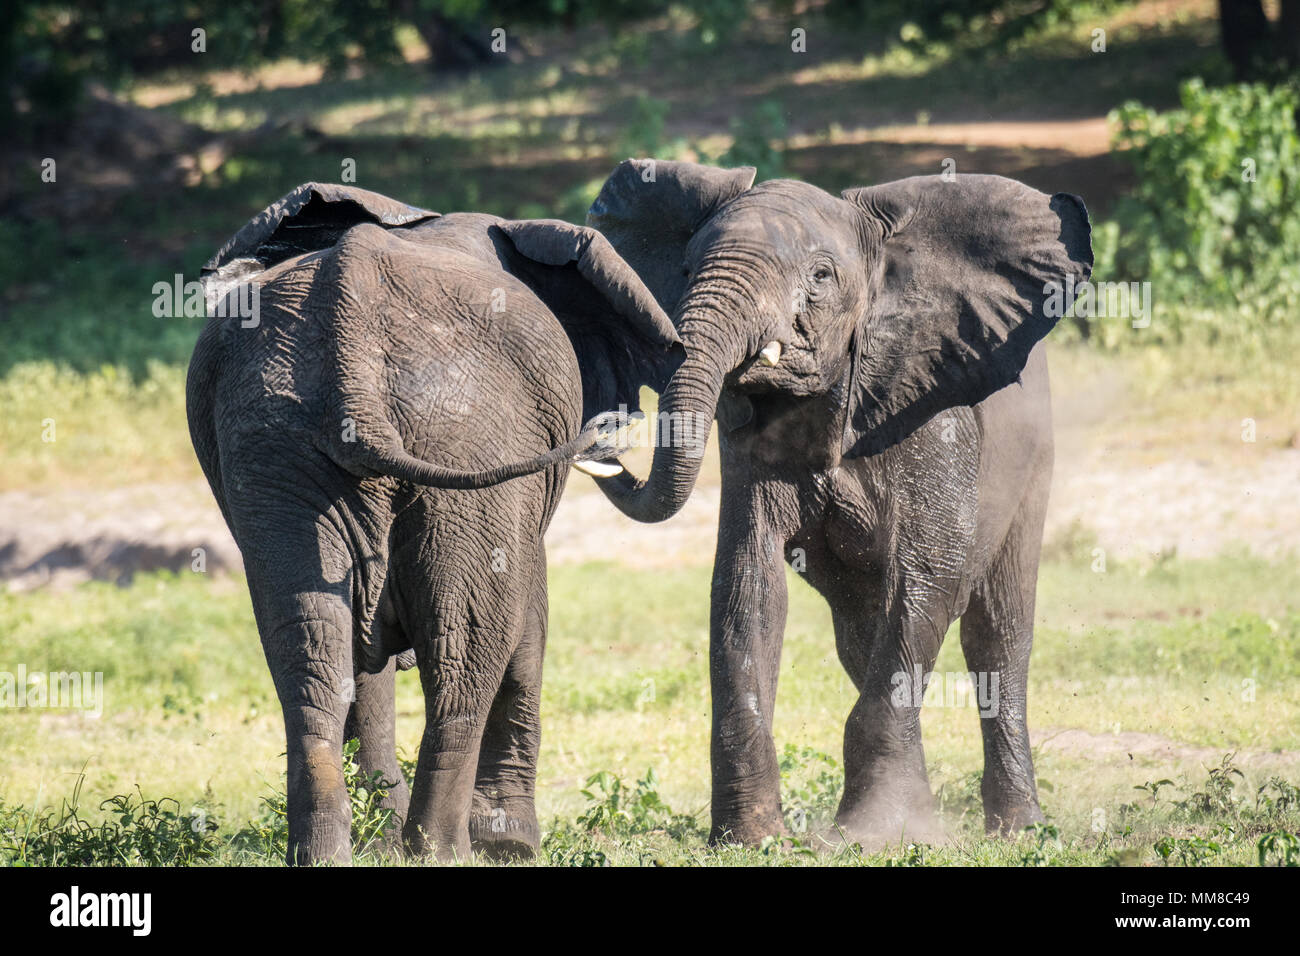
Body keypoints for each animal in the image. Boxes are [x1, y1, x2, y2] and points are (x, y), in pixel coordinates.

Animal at [186, 182, 680, 864]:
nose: (609, 437)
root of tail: (353, 316)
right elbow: (528, 618)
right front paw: (511, 845)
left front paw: (383, 834)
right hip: (470, 438)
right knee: (465, 652)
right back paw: (444, 850)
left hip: (279, 446)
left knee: (309, 647)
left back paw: (333, 852)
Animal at [583, 159, 1092, 847]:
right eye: (686, 270)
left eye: (821, 276)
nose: (605, 434)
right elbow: (749, 585)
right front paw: (755, 838)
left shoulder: (933, 417)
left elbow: (926, 577)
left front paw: (873, 836)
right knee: (861, 639)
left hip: (1034, 464)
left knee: (997, 635)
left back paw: (1019, 831)